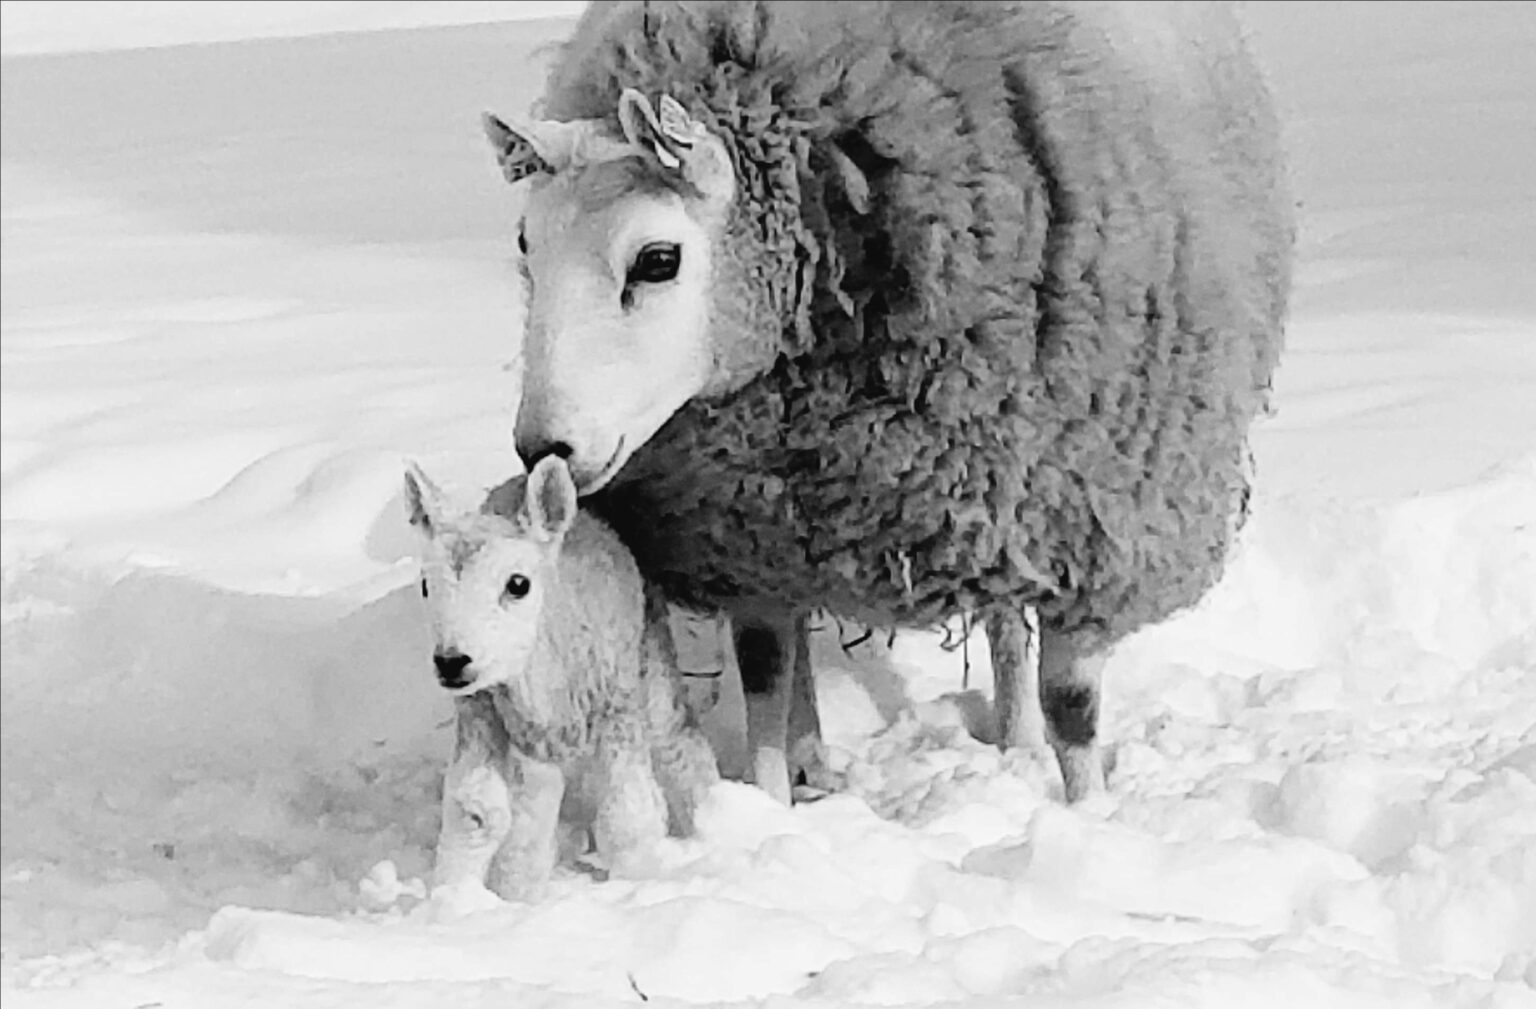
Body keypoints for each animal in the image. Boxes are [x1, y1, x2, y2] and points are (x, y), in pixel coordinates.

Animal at [404, 456, 719, 898]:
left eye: (518, 584)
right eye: (424, 586)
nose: (451, 661)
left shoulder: (615, 706)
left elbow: (628, 817)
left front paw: (640, 883)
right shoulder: (482, 712)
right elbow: (475, 812)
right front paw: (458, 898)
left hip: (648, 656)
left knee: (678, 738)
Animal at [482, 1, 1294, 804]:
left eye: (657, 260)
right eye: (523, 245)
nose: (542, 449)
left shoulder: (1091, 522)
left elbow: (1072, 705)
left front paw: (1087, 811)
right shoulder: (745, 532)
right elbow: (765, 678)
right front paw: (771, 805)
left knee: (1007, 625)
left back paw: (1015, 740)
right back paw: (817, 762)